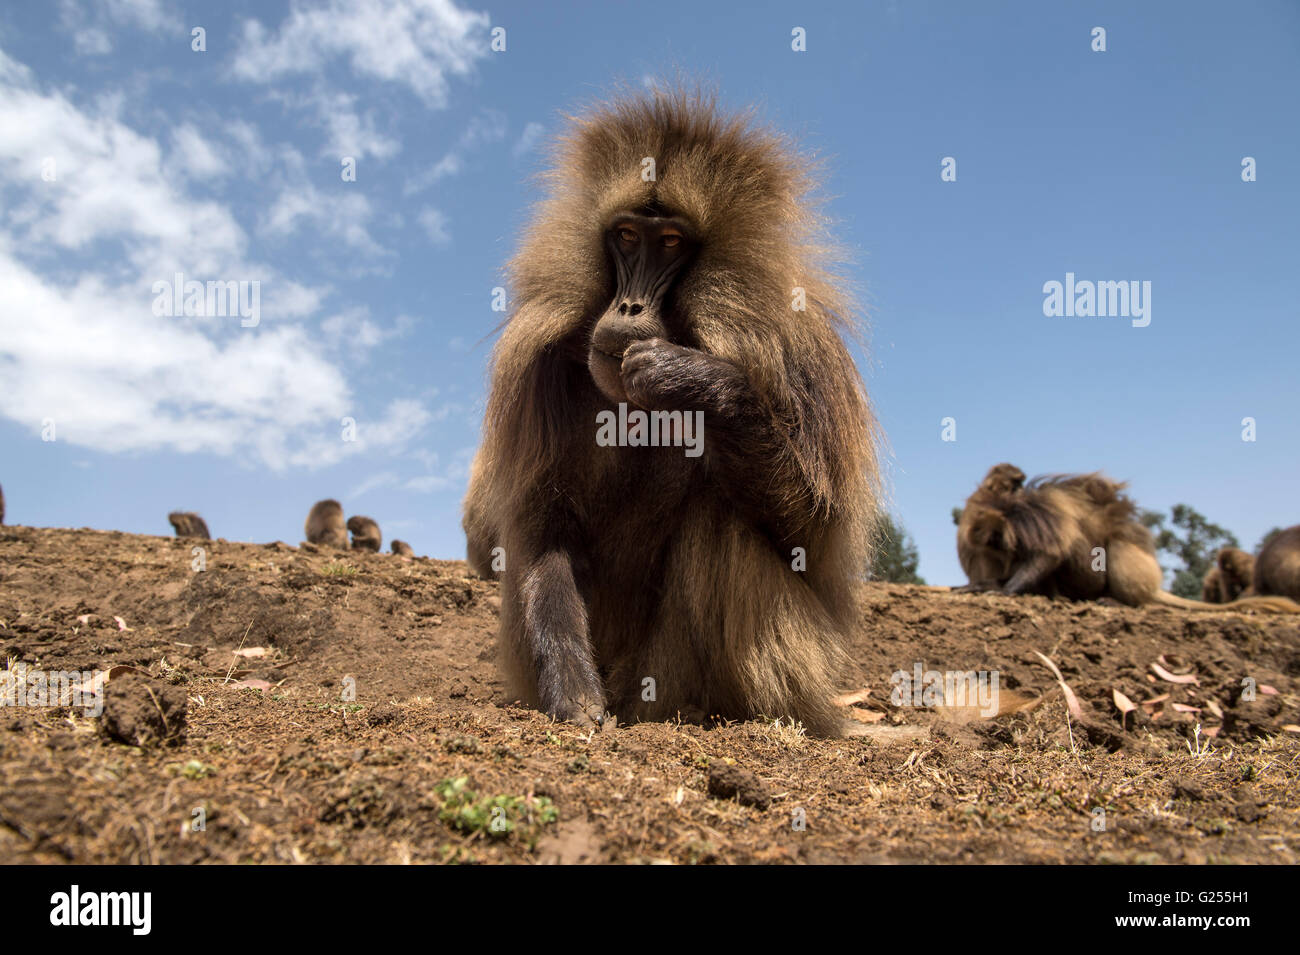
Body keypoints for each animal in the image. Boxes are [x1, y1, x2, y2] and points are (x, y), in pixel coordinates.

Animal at [463, 88, 878, 737]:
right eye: (627, 235)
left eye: (672, 243)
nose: (630, 308)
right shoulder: (534, 377)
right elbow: (541, 528)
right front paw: (571, 686)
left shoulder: (797, 348)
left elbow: (816, 531)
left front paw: (693, 379)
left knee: (721, 521)